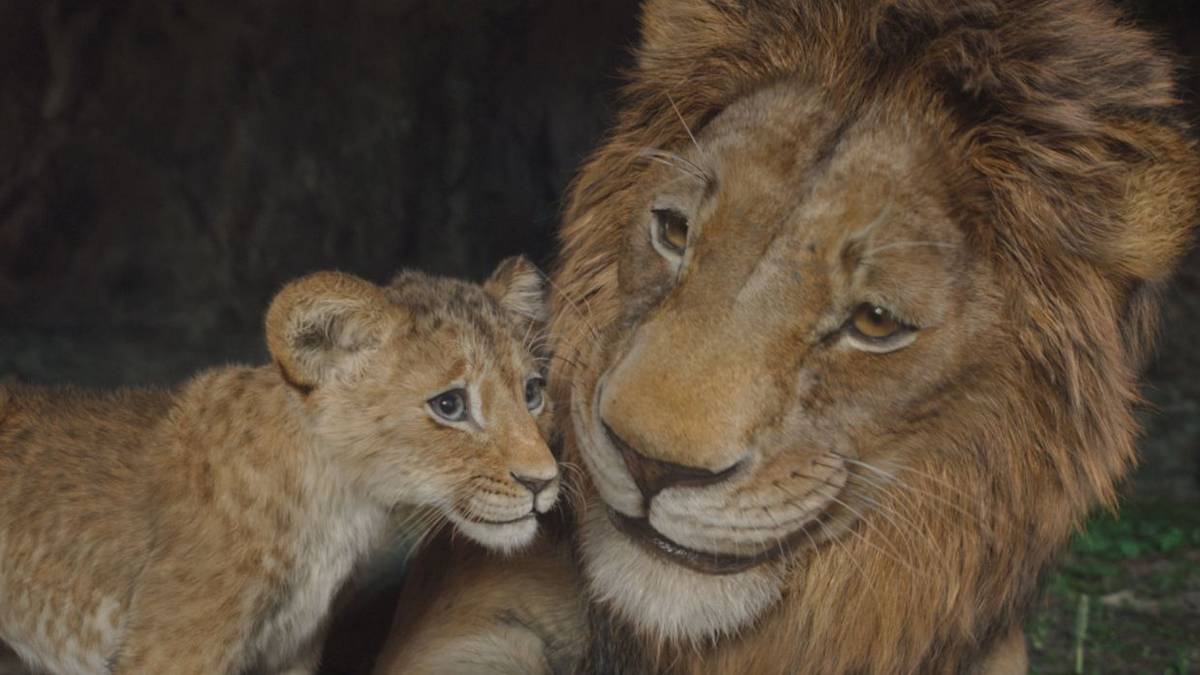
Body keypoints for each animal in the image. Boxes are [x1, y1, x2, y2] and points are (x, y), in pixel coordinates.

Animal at [0, 258, 559, 674]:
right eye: (450, 406)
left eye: (532, 393)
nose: (544, 481)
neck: (339, 509)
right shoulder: (172, 650)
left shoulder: (293, 650)